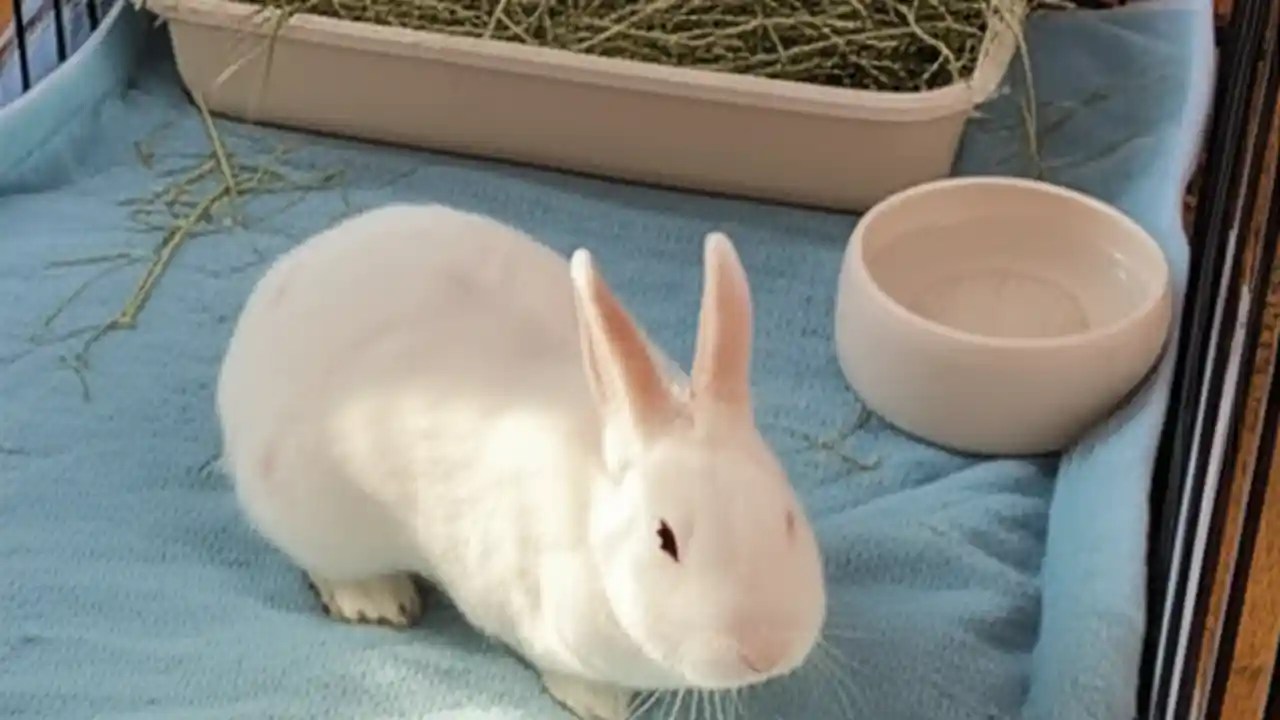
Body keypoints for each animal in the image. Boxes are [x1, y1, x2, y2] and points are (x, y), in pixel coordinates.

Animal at [215, 204, 827, 719]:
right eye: (664, 539)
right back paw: (376, 601)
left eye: (787, 520)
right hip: (308, 514)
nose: (766, 651)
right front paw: (600, 705)